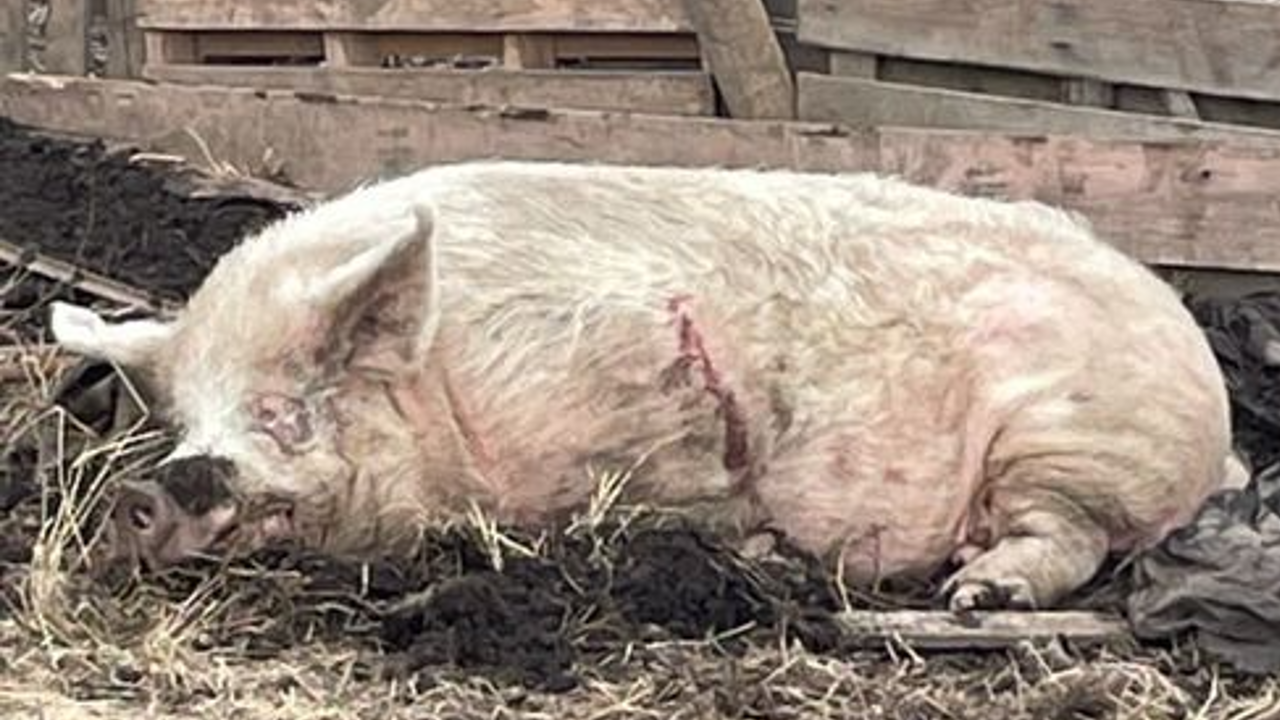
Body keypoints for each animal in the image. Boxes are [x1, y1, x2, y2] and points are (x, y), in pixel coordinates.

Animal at [48, 160, 1243, 611]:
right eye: (181, 420)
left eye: (283, 412)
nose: (142, 492)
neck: (452, 389)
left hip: (1078, 440)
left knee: (1070, 534)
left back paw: (973, 591)